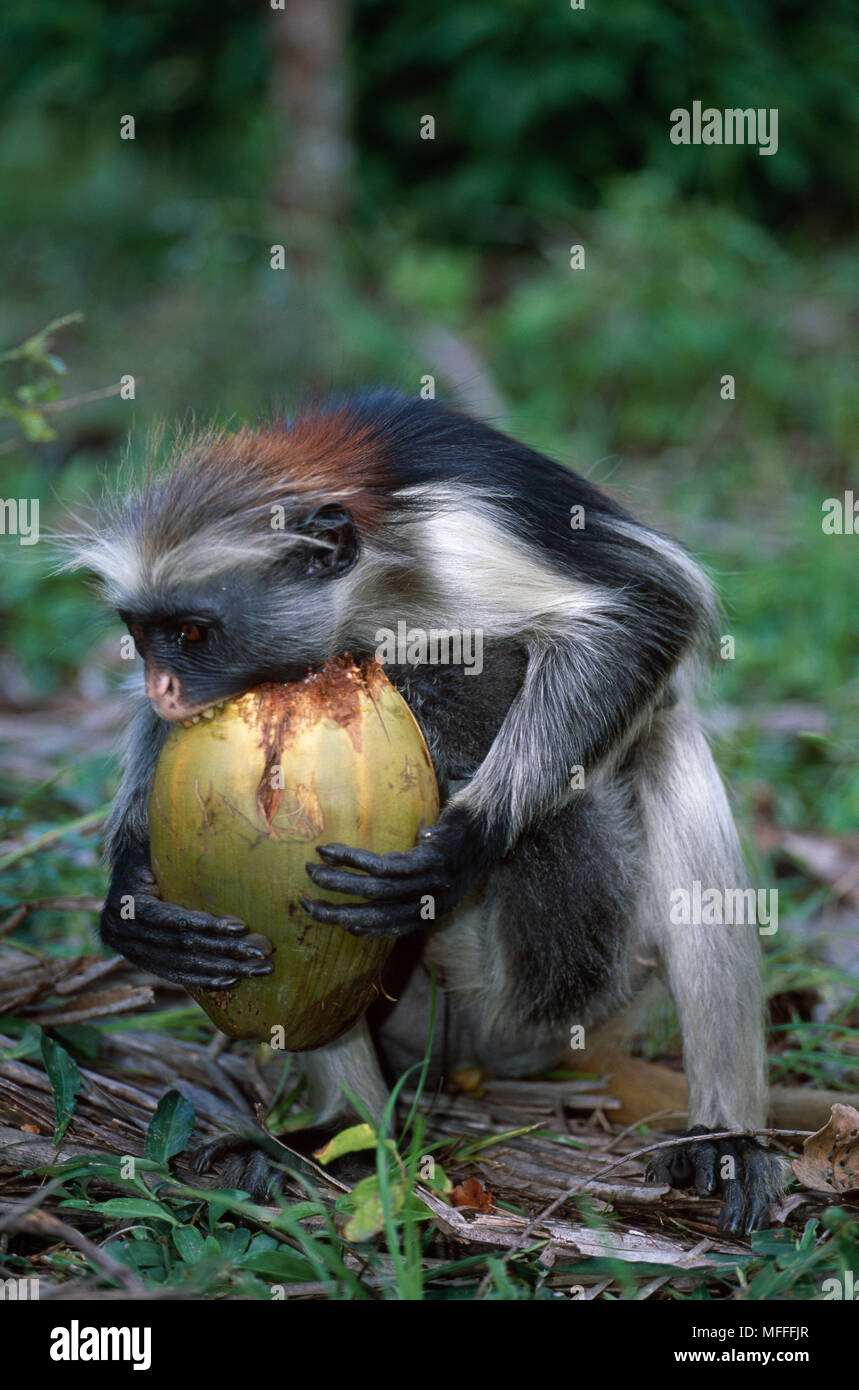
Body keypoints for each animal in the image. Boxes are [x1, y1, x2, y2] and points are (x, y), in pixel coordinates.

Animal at [64, 391, 783, 1234]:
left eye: (191, 632)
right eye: (142, 636)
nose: (163, 688)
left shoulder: (461, 528)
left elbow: (651, 605)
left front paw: (464, 846)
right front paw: (131, 899)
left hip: (554, 994)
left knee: (660, 738)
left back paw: (724, 1134)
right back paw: (346, 1130)